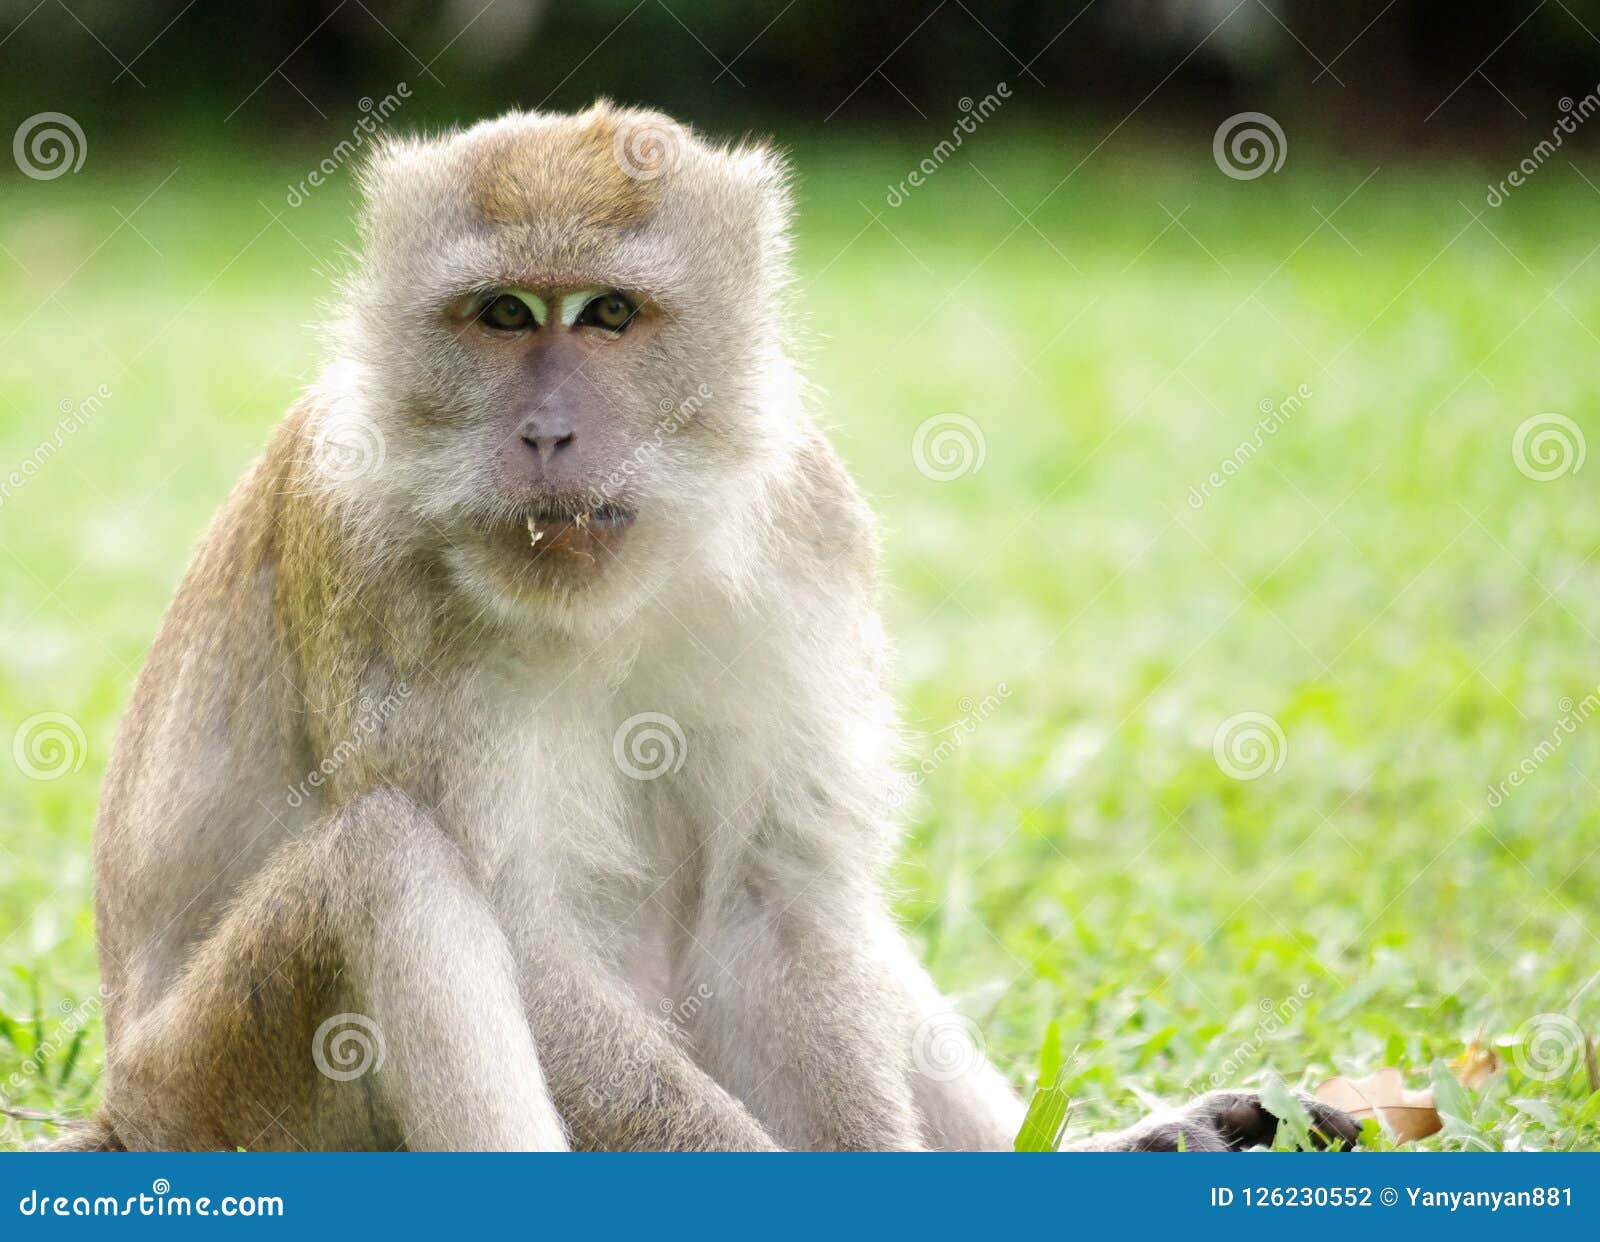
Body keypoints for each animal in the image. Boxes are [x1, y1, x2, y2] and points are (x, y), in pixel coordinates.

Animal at [53, 102, 1359, 1153]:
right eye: (502, 315)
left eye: (607, 316)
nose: (546, 433)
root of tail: (117, 1113)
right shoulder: (364, 546)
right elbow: (515, 924)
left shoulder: (807, 530)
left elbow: (776, 897)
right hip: (215, 1096)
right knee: (385, 861)